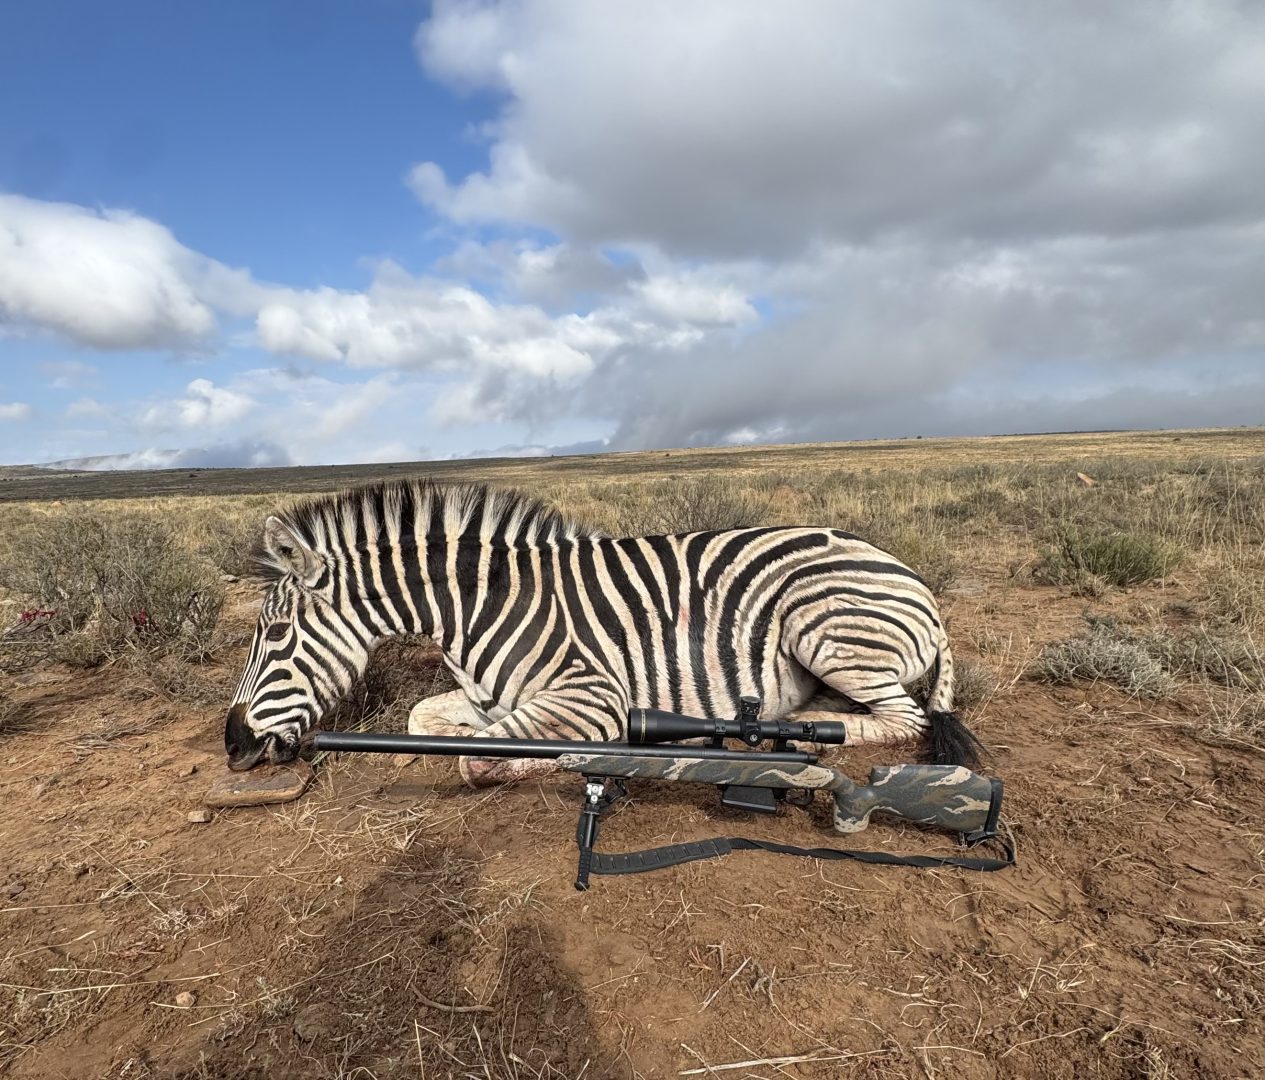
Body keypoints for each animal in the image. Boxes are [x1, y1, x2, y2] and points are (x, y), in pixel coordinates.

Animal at [224, 480, 982, 781]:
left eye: (276, 635)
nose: (232, 746)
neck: (477, 605)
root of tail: (908, 574)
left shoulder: (590, 693)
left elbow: (479, 759)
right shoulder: (486, 697)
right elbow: (423, 718)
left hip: (823, 627)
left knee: (904, 720)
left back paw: (794, 730)